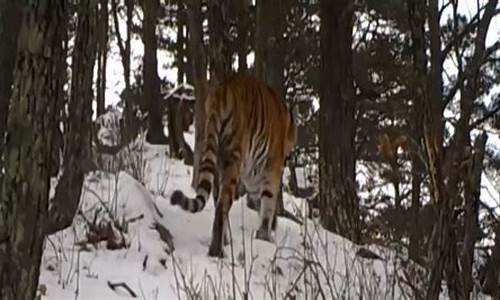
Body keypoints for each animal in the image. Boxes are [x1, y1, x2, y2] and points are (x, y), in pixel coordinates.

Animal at [172, 75, 296, 258]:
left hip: (215, 155)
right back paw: (217, 251)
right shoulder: (271, 169)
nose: (290, 152)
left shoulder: (254, 176)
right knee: (222, 205)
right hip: (233, 158)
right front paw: (265, 236)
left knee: (217, 199)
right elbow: (268, 202)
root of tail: (222, 91)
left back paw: (225, 241)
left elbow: (260, 202)